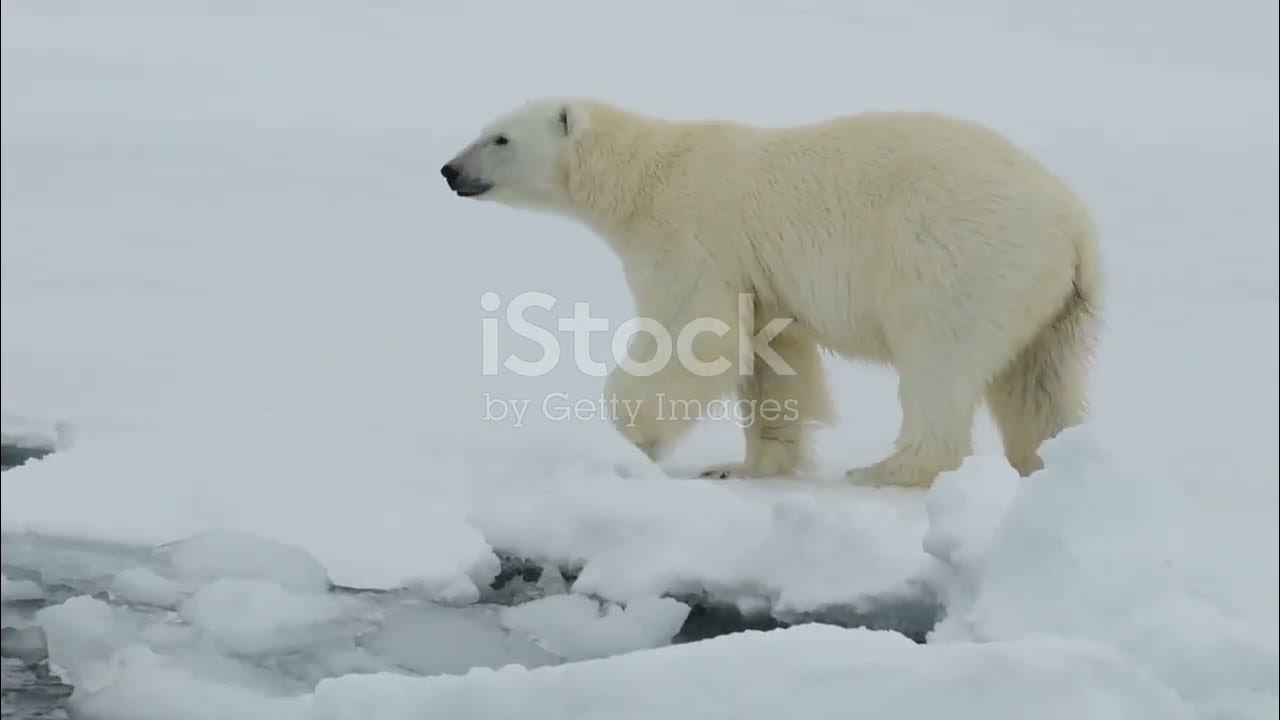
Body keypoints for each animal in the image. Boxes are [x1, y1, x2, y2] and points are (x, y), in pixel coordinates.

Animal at [442, 99, 1102, 487]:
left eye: (499, 139)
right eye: (484, 130)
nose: (449, 171)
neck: (646, 173)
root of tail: (1072, 224)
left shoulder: (693, 232)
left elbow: (696, 336)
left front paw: (633, 437)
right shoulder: (758, 275)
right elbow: (770, 358)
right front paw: (743, 466)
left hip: (961, 258)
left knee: (939, 360)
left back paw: (888, 468)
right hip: (1053, 301)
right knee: (1040, 383)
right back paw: (1047, 462)